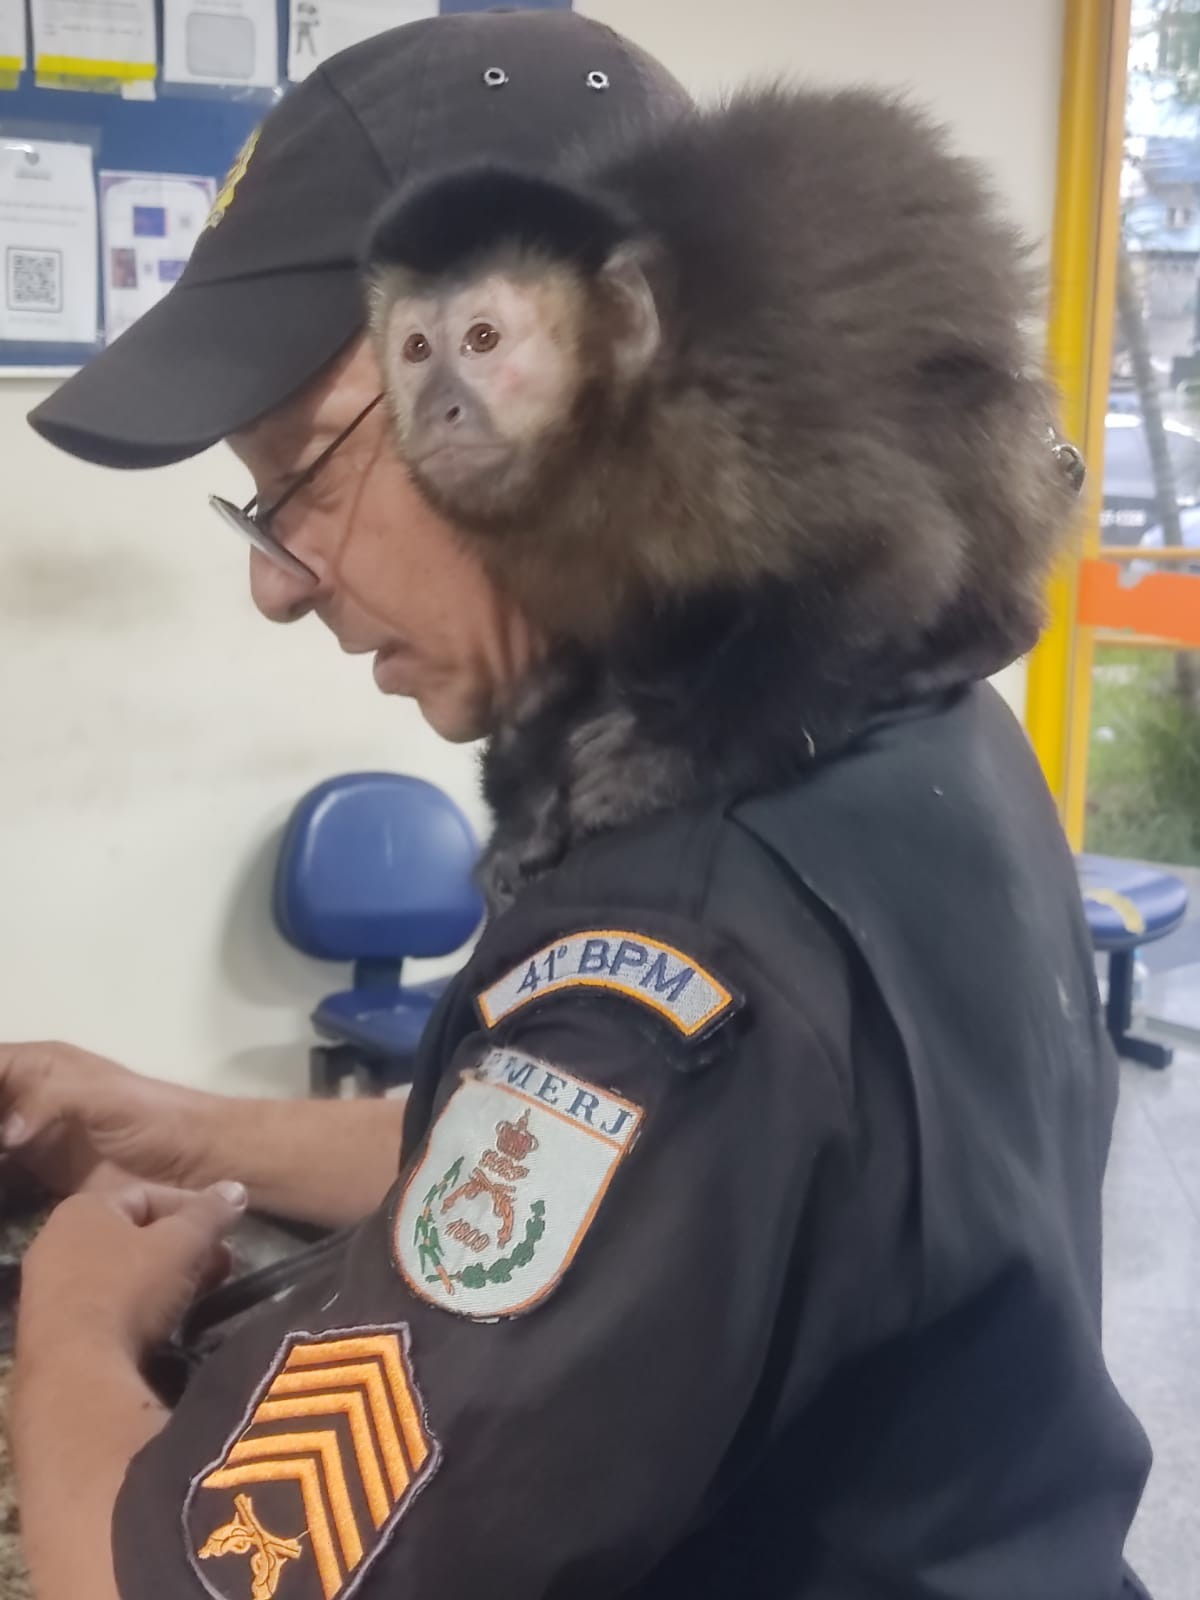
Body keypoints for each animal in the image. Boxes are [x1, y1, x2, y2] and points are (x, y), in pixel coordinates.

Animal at [362, 85, 1085, 909]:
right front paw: (529, 796)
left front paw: (675, 755)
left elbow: (895, 554)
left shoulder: (722, 421)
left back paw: (985, 636)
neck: (611, 426)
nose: (438, 408)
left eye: (482, 339)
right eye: (417, 351)